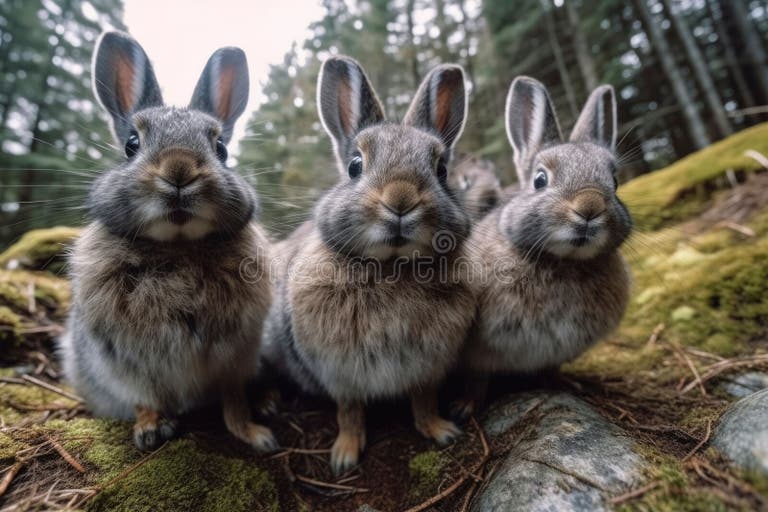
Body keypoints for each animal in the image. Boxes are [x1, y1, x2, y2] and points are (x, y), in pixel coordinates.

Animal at [58, 31, 277, 452]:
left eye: (221, 148)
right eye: (132, 143)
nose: (179, 170)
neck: (179, 246)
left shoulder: (234, 358)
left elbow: (234, 402)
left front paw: (255, 436)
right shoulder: (127, 364)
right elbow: (146, 398)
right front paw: (149, 429)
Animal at [261, 56, 474, 475]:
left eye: (441, 169)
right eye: (355, 166)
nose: (400, 200)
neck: (392, 267)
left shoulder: (427, 366)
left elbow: (424, 401)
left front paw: (441, 431)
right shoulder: (340, 373)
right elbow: (349, 411)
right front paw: (344, 456)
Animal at [452, 77, 632, 419]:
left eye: (615, 181)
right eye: (539, 179)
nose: (589, 208)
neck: (564, 261)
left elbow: (551, 370)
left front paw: (566, 385)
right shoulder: (477, 353)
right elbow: (475, 379)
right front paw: (466, 407)